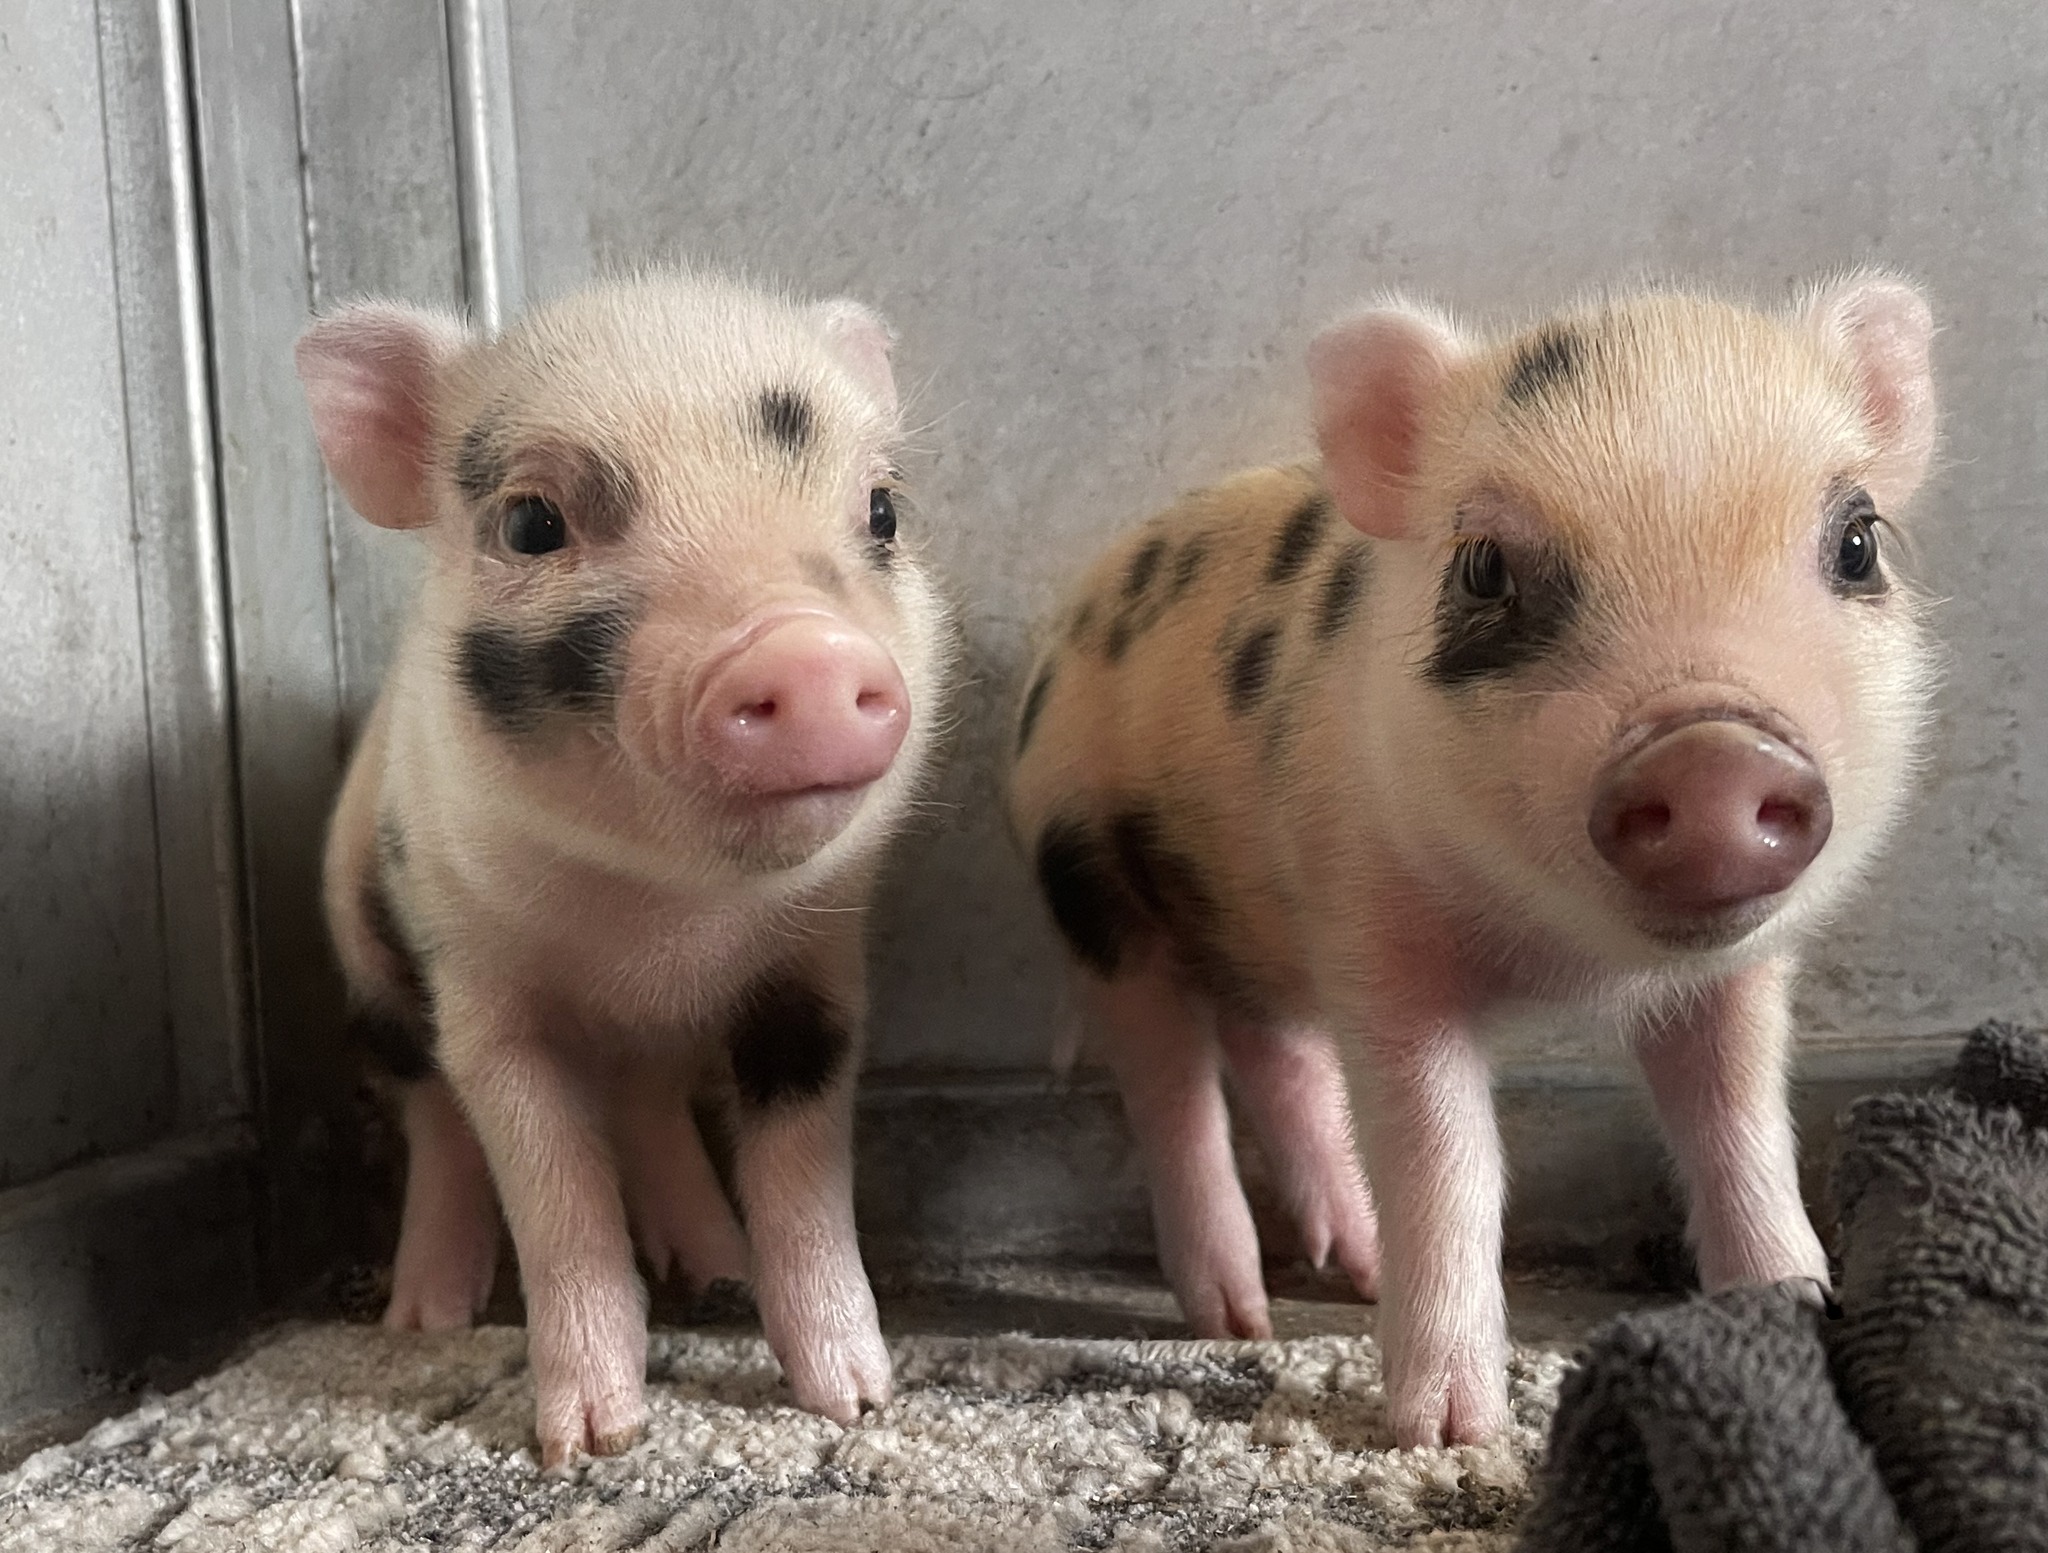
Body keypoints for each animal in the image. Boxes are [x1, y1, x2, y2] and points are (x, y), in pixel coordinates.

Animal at [297, 269, 951, 1466]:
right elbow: (555, 1195)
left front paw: (858, 1400)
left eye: (882, 511)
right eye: (530, 522)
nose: (809, 653)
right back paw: (426, 1318)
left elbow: (804, 1186)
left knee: (649, 1107)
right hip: (373, 971)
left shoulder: (817, 981)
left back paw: (716, 1270)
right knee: (435, 1122)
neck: (661, 921)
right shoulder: (484, 993)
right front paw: (592, 1442)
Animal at [1008, 274, 1938, 1447]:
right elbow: (1444, 1156)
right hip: (1087, 879)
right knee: (1170, 1081)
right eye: (1485, 567)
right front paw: (1449, 1432)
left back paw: (1350, 1265)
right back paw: (1240, 1319)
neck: (1567, 960)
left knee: (1273, 1049)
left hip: (1261, 925)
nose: (1712, 753)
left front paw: (1794, 1311)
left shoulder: (1733, 972)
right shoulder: (1374, 921)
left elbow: (1736, 1118)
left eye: (1857, 542)